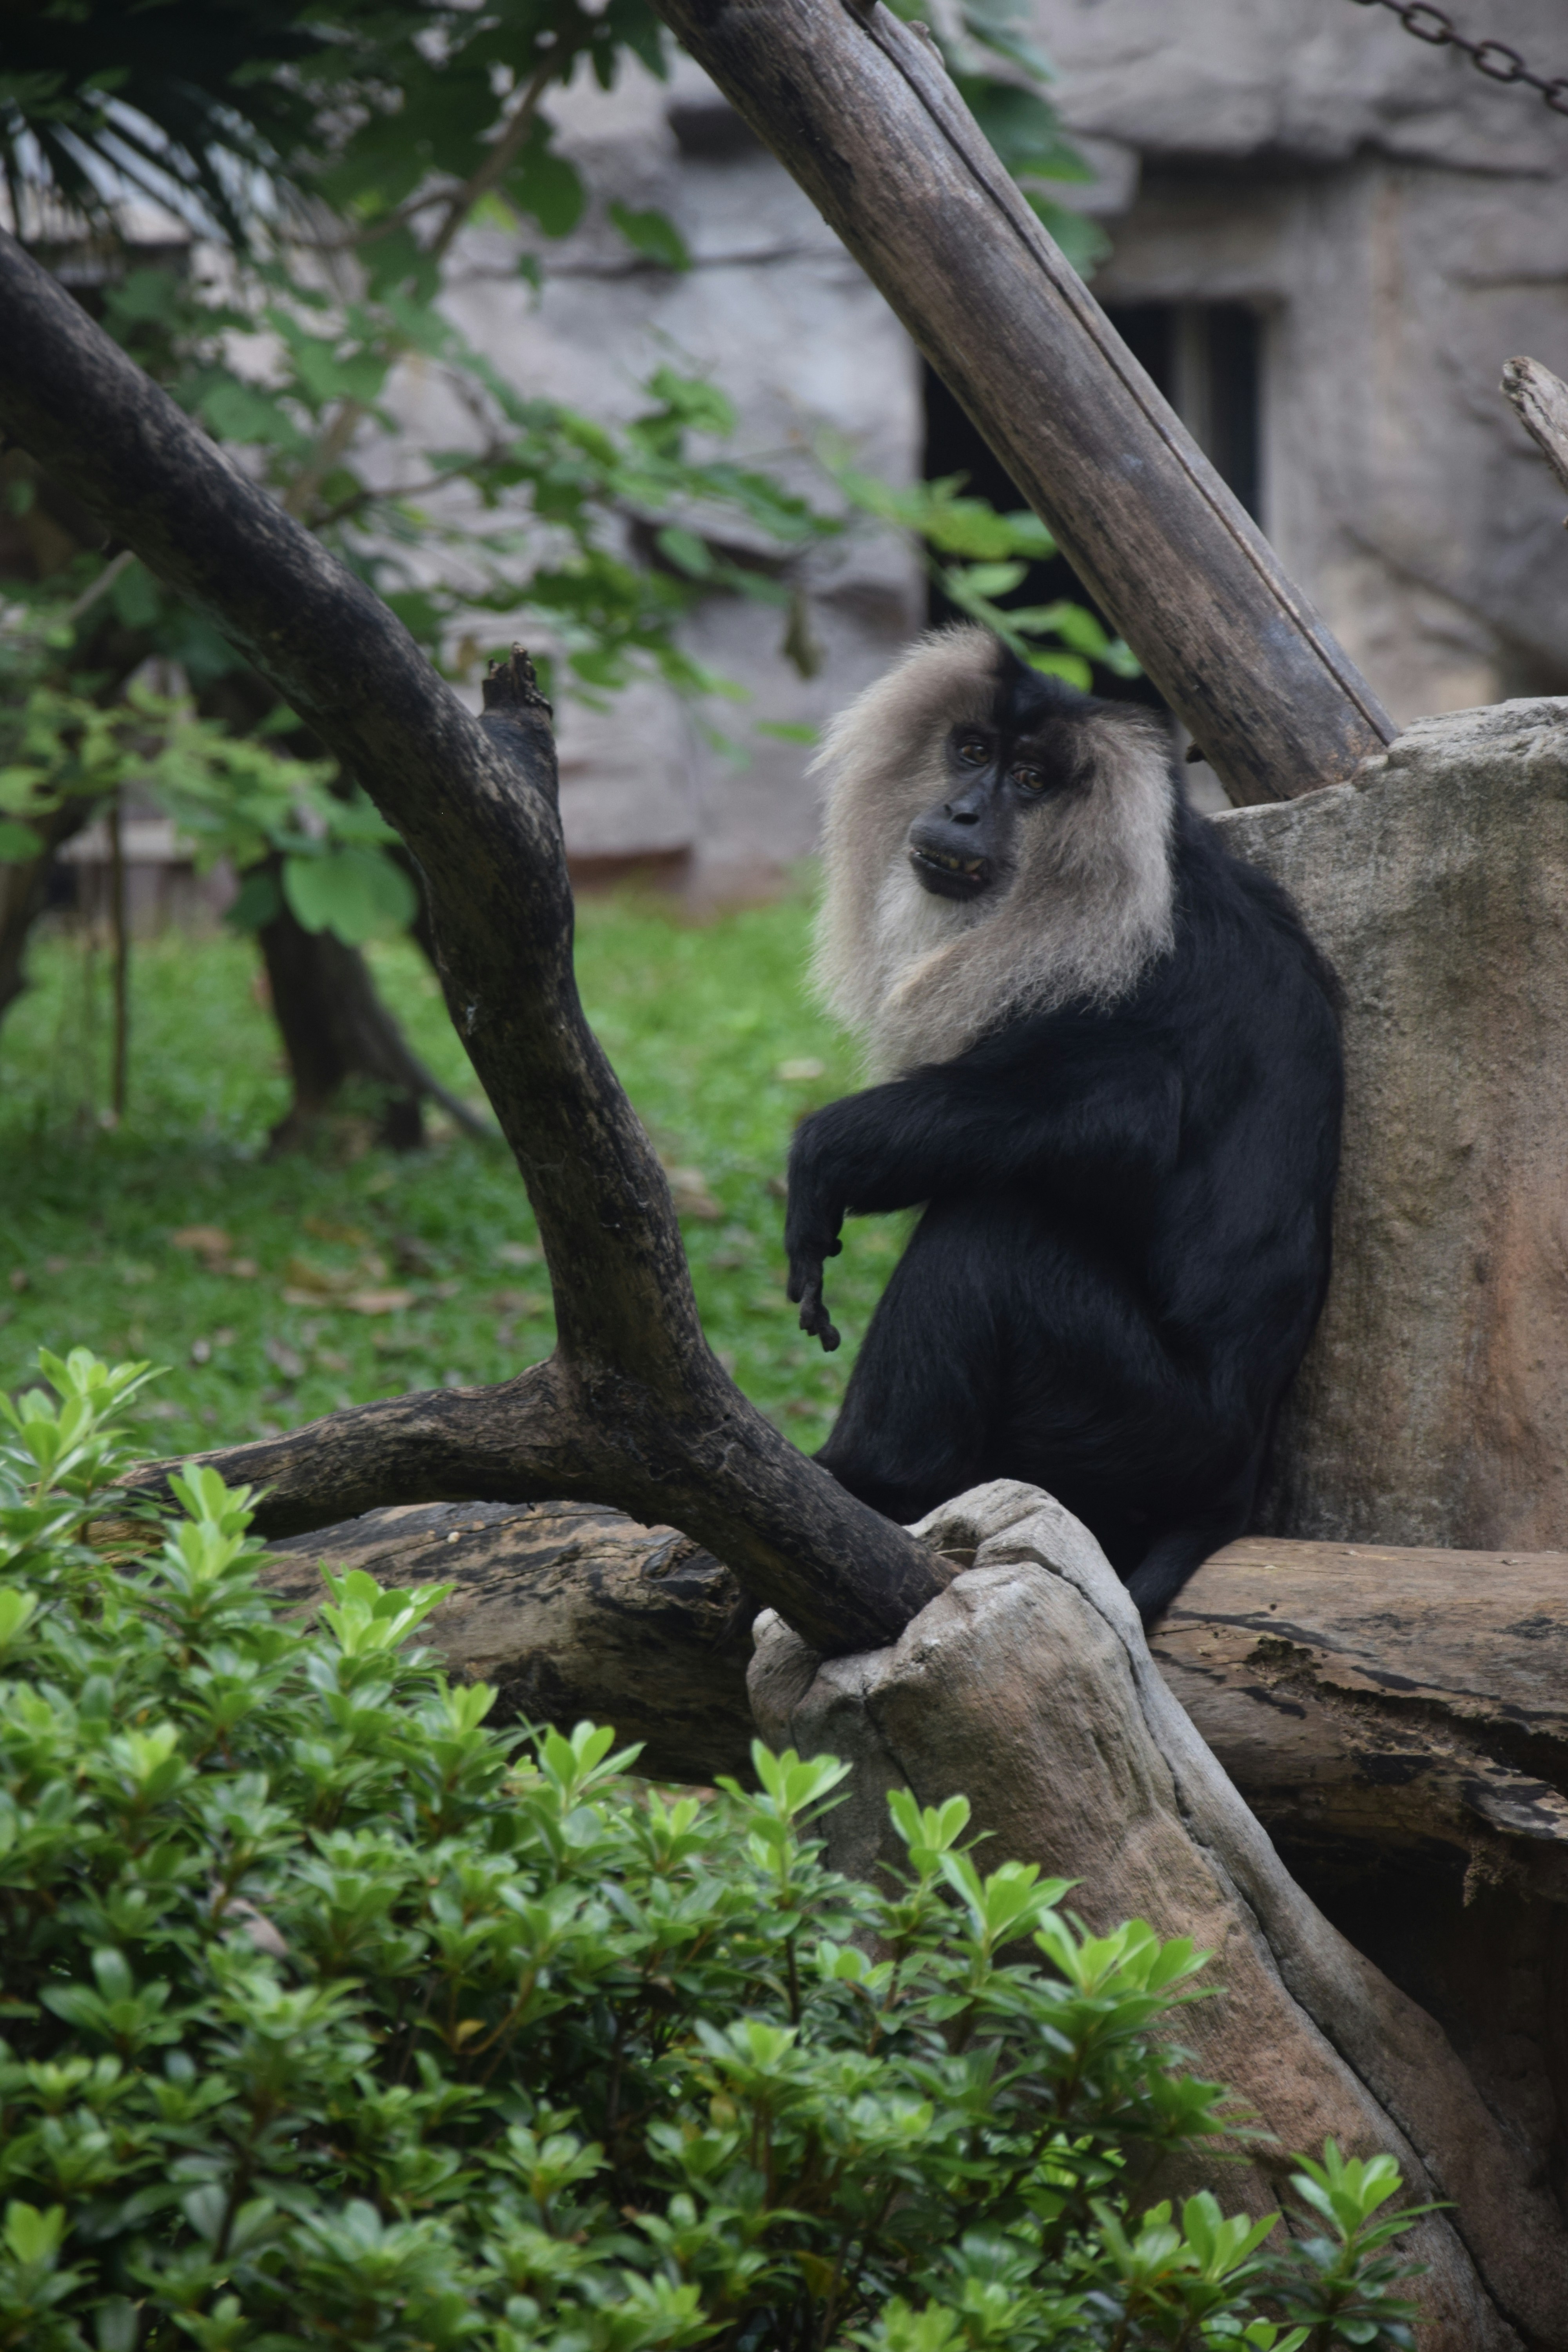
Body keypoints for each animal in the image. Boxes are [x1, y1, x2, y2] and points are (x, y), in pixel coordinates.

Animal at [784, 625, 1342, 1625]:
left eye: (1031, 780)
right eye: (971, 753)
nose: (964, 811)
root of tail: (1234, 1479)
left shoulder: (1122, 969)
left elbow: (1121, 1111)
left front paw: (825, 1155)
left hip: (1143, 1426)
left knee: (988, 1230)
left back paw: (870, 1481)